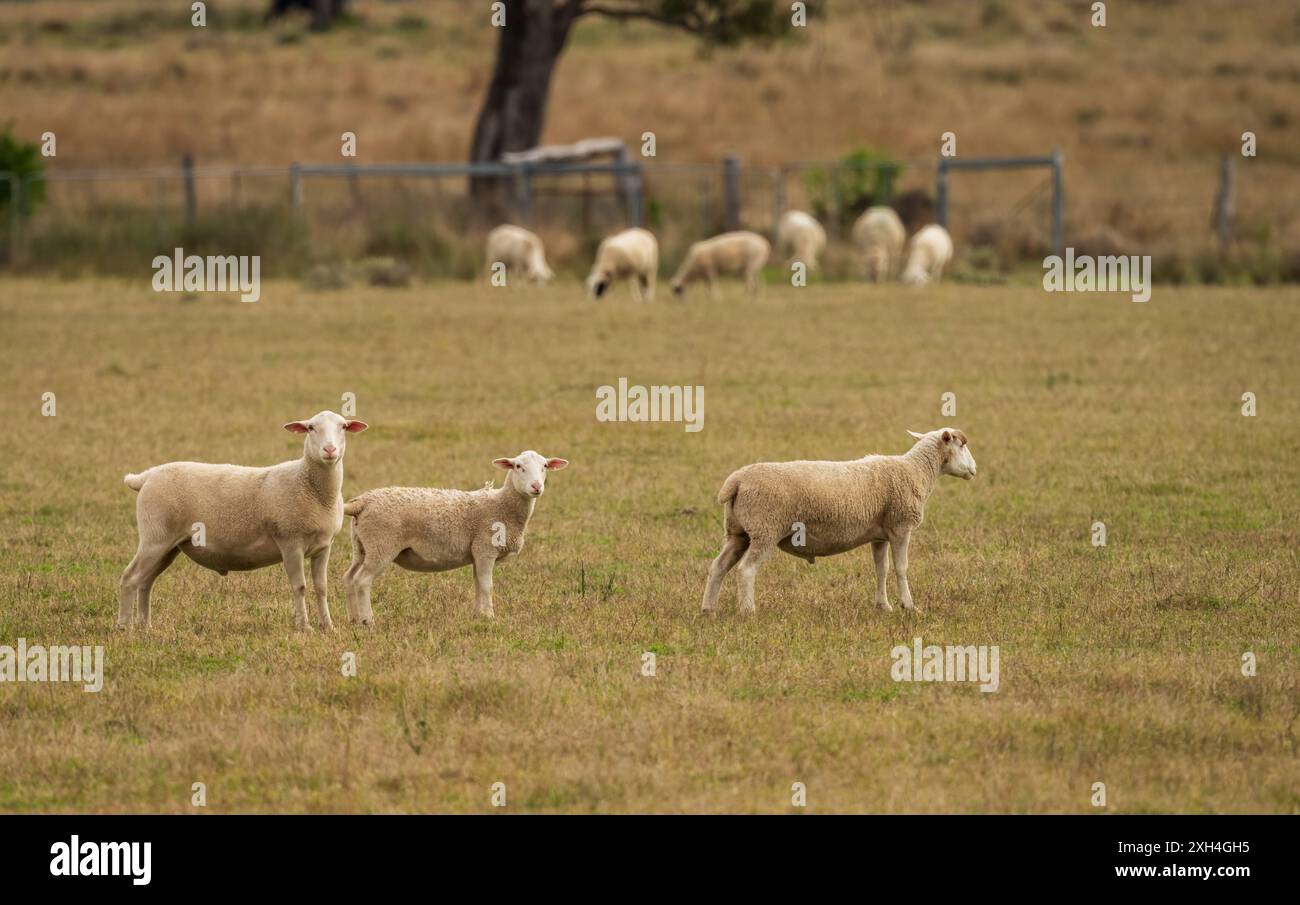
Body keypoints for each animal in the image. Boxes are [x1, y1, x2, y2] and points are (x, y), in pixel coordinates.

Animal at [119, 411, 368, 631]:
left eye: (343, 426)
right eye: (310, 428)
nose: (329, 450)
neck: (311, 488)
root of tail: (146, 477)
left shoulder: (323, 546)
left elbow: (321, 587)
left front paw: (328, 626)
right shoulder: (290, 542)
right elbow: (300, 586)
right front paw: (304, 627)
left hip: (168, 546)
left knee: (146, 581)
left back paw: (145, 626)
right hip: (155, 537)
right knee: (130, 578)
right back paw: (124, 627)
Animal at [342, 450, 568, 622]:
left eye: (545, 466)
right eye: (518, 466)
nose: (536, 487)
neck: (501, 505)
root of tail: (362, 502)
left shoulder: (477, 554)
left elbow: (478, 585)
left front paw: (478, 616)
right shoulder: (485, 549)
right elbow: (487, 586)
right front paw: (490, 618)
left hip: (361, 546)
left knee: (349, 578)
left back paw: (353, 619)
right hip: (381, 545)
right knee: (362, 581)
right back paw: (368, 621)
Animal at [701, 428, 977, 615]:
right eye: (962, 446)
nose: (974, 469)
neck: (916, 471)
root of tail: (736, 481)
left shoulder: (880, 535)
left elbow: (882, 569)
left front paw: (883, 606)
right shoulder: (901, 527)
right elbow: (901, 568)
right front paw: (909, 606)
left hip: (739, 532)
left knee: (718, 566)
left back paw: (708, 609)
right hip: (765, 529)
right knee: (746, 570)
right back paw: (748, 611)